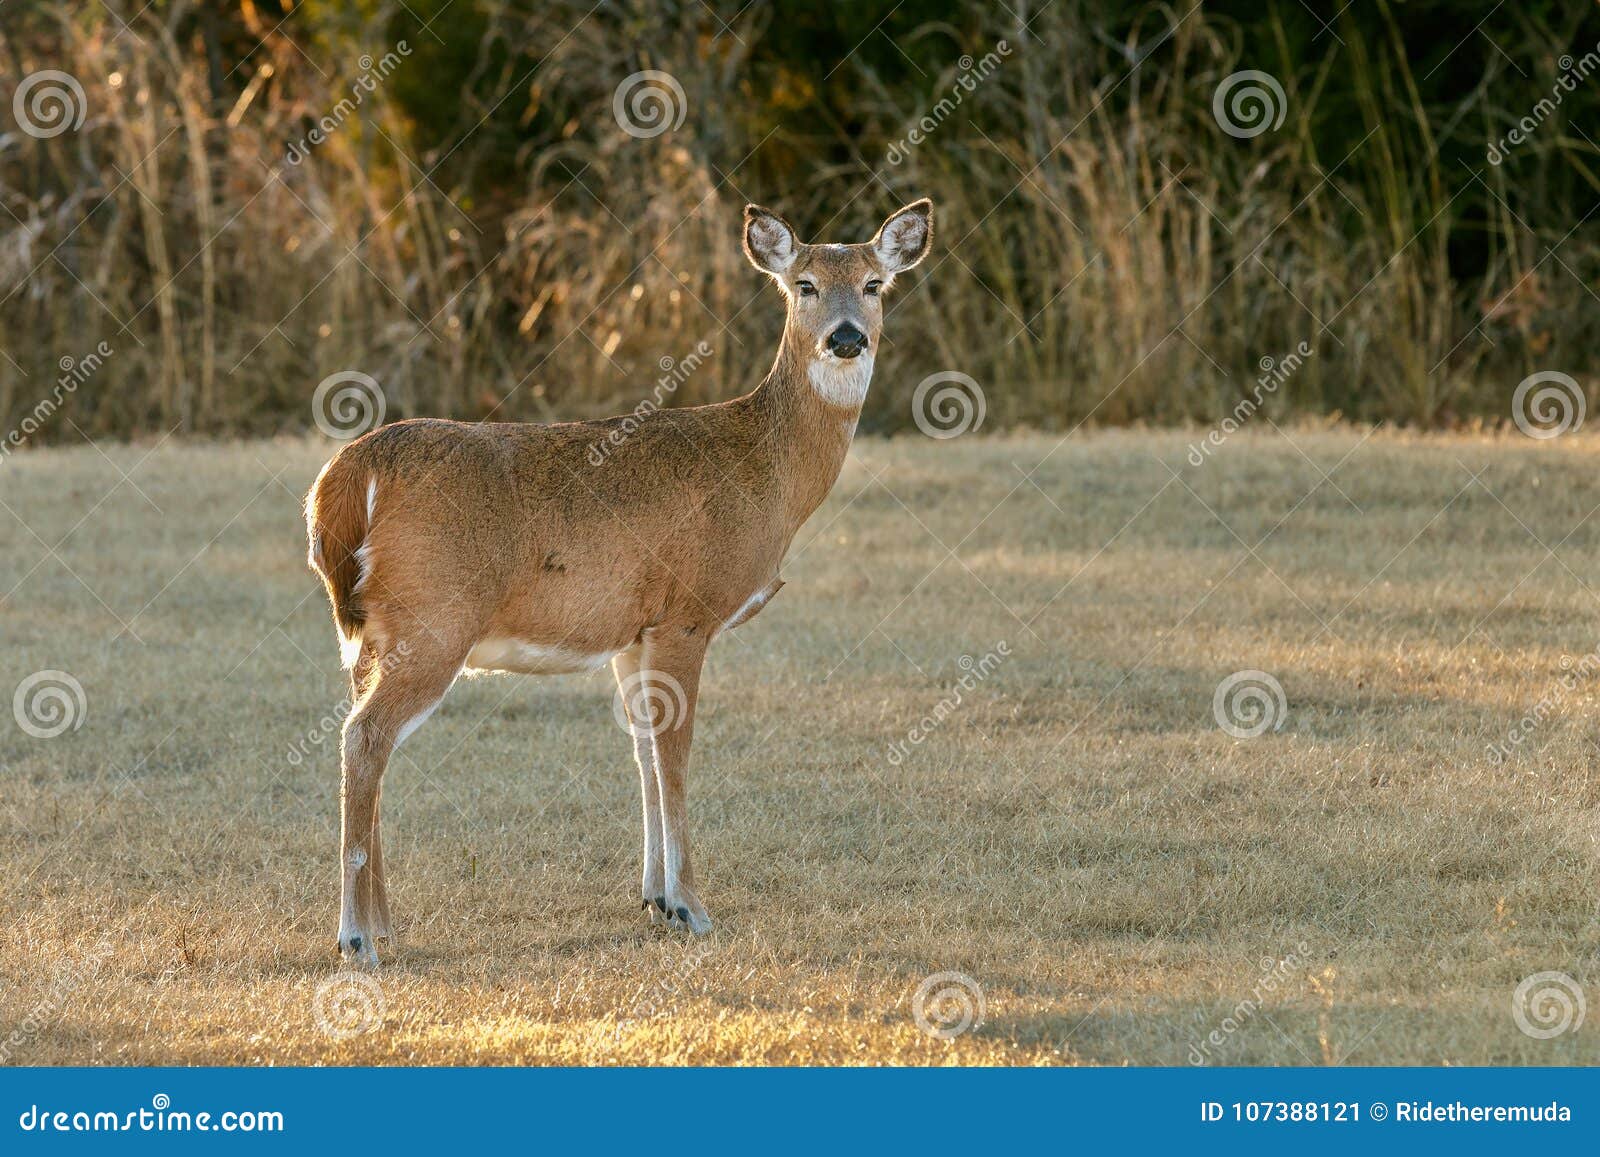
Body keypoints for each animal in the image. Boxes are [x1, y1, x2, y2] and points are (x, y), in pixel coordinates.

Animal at [305, 198, 933, 964]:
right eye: (805, 284)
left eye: (874, 283)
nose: (846, 338)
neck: (769, 473)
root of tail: (344, 476)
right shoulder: (688, 611)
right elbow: (676, 752)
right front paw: (693, 906)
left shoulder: (635, 630)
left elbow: (643, 750)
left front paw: (655, 898)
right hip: (435, 618)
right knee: (363, 737)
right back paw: (355, 937)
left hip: (372, 630)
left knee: (364, 735)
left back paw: (383, 921)